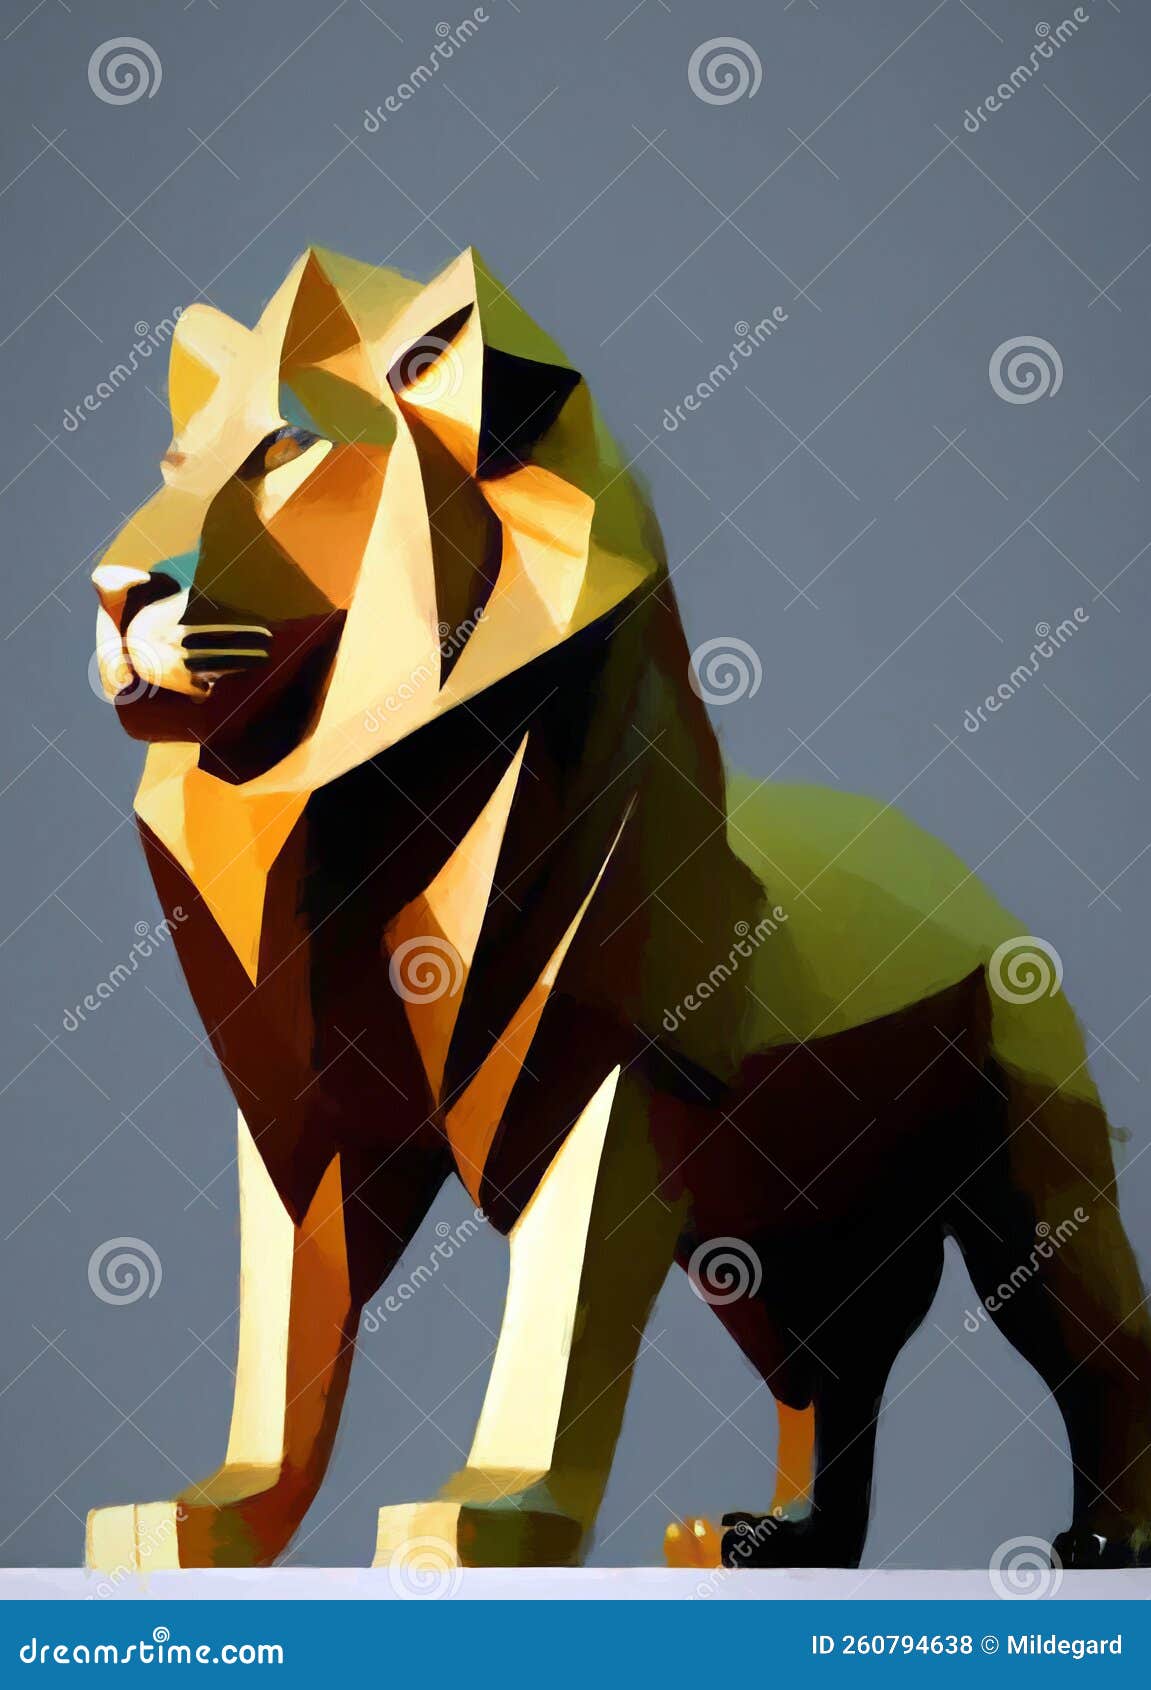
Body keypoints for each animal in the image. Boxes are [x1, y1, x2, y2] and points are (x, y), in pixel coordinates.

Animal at [85, 246, 1151, 1574]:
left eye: (284, 446)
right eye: (173, 464)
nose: (110, 590)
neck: (353, 807)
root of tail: (950, 865)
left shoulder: (596, 1077)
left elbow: (554, 1324)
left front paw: (485, 1512)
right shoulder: (305, 1110)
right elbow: (287, 1332)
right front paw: (207, 1514)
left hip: (1026, 1181)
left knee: (1101, 1345)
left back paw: (1105, 1535)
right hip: (767, 1246)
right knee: (832, 1377)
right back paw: (774, 1541)